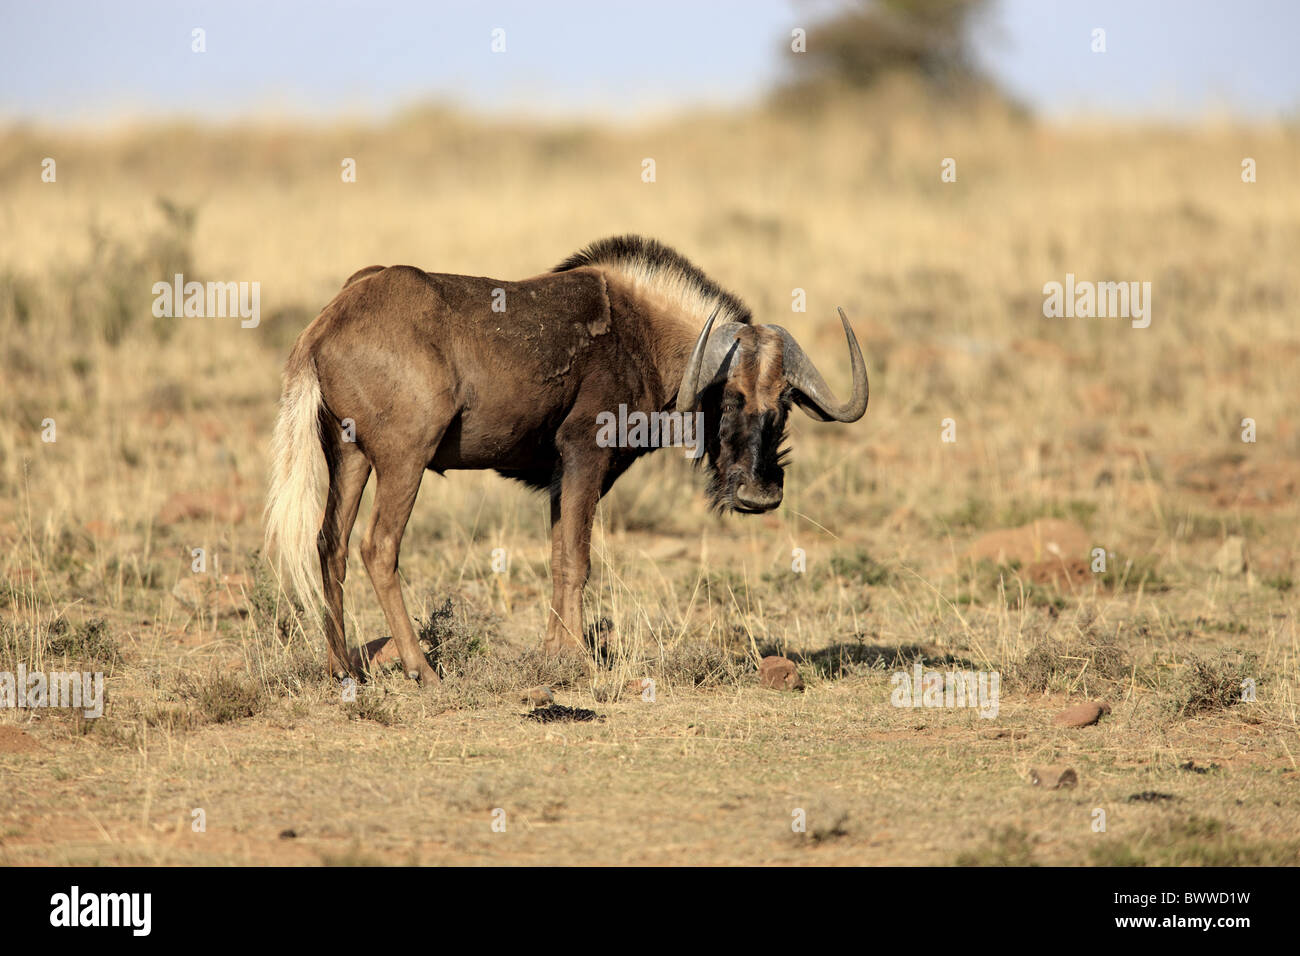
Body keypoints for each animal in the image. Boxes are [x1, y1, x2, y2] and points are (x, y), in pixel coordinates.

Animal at [265, 236, 868, 684]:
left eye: (784, 402)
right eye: (729, 397)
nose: (757, 494)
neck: (642, 331)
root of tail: (328, 322)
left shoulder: (563, 476)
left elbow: (559, 557)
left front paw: (555, 653)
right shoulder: (586, 454)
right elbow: (579, 560)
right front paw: (578, 658)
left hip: (348, 456)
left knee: (330, 545)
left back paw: (343, 670)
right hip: (402, 461)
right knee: (379, 546)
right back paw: (422, 670)